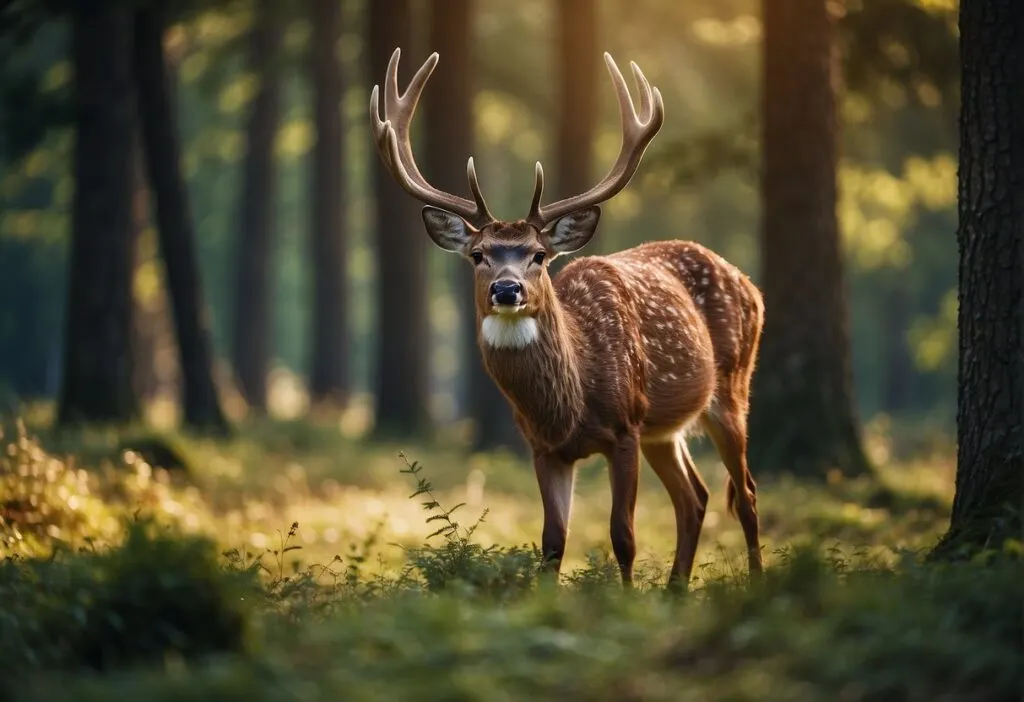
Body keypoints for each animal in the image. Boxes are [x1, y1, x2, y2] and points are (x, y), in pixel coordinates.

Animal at [370, 47, 765, 588]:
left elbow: (624, 536)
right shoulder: (543, 448)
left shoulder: (625, 427)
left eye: (538, 255)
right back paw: (675, 591)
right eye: (477, 255)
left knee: (744, 494)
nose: (507, 288)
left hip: (730, 390)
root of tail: (750, 284)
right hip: (664, 429)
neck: (572, 400)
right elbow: (553, 542)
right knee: (696, 496)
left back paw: (756, 581)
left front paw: (624, 600)